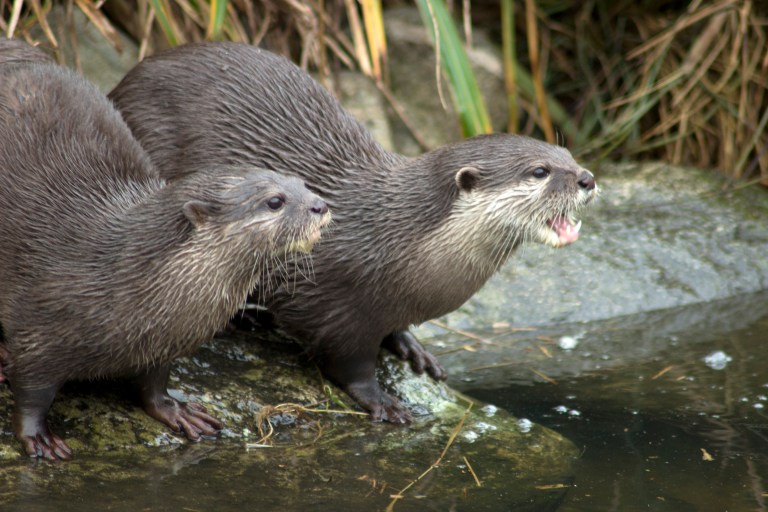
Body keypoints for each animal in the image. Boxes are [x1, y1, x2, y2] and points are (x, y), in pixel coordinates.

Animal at [0, 44, 330, 460]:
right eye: (275, 201)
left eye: (301, 182)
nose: (321, 205)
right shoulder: (40, 326)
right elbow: (32, 390)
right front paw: (37, 437)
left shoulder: (160, 346)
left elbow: (154, 384)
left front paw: (176, 411)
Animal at [110, 42, 598, 423]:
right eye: (540, 171)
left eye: (568, 155)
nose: (587, 178)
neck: (400, 241)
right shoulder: (339, 309)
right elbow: (349, 364)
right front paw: (383, 400)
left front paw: (412, 347)